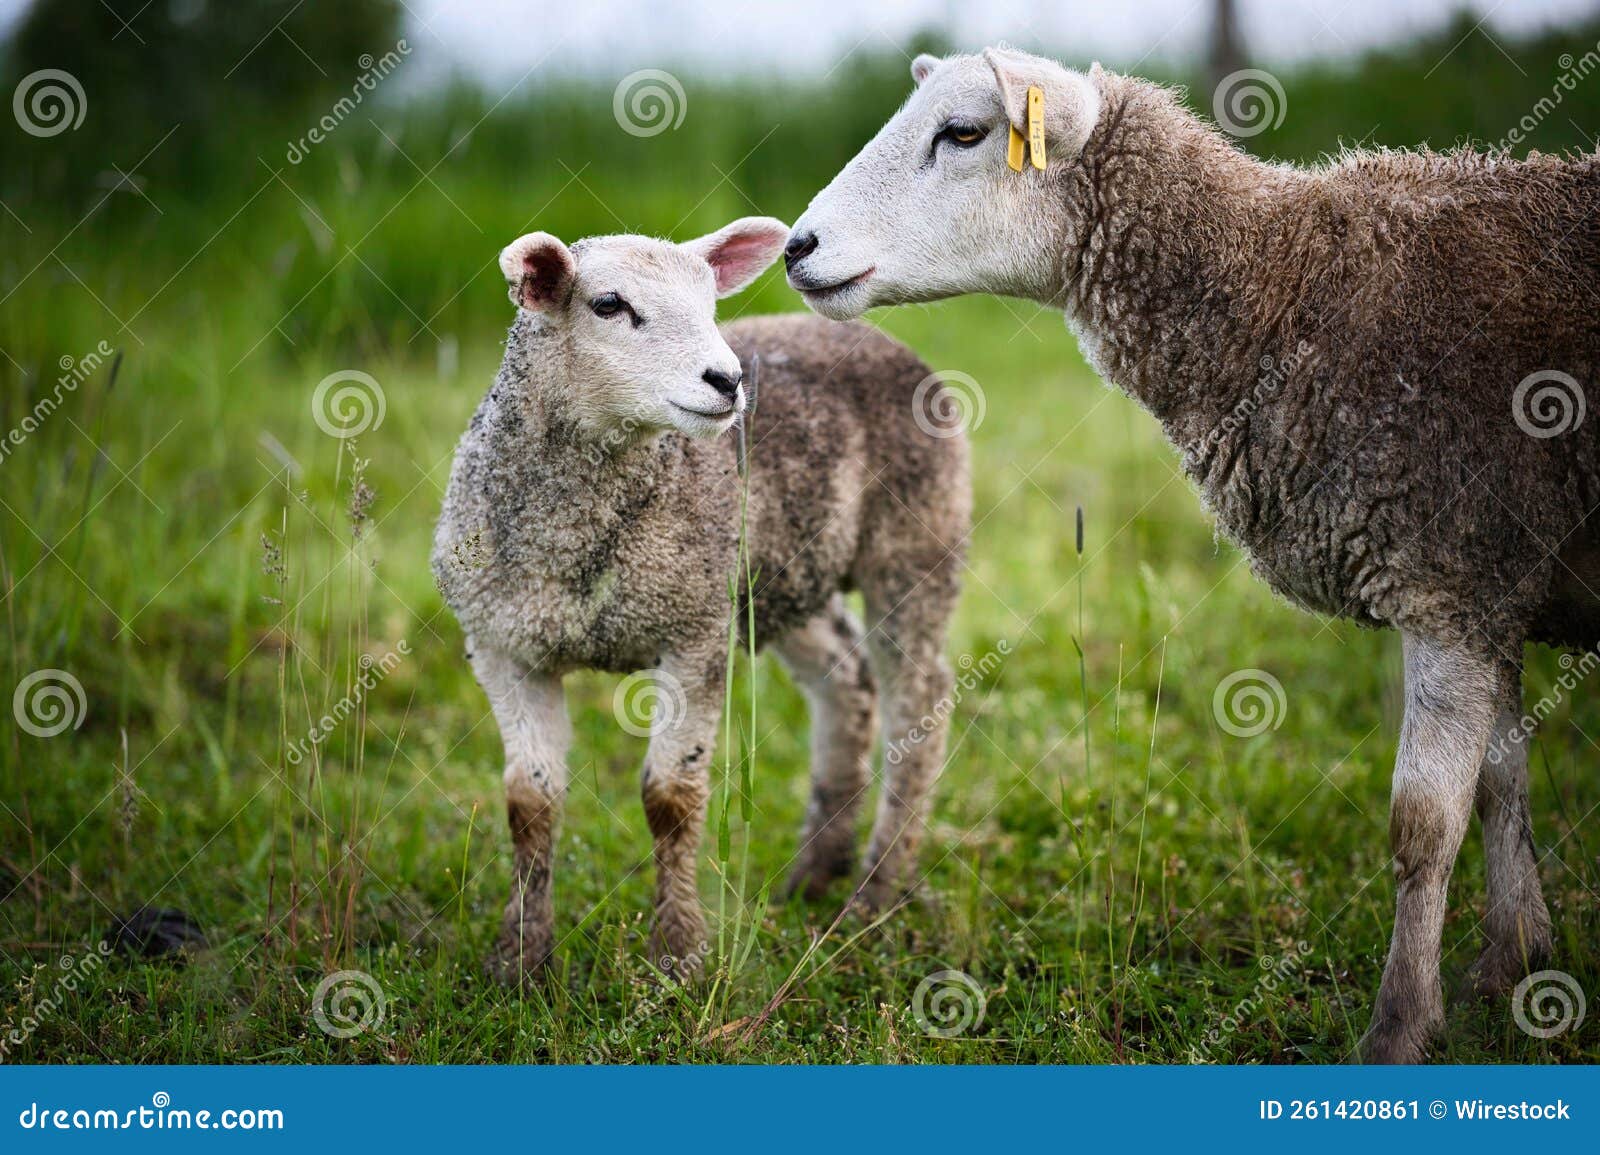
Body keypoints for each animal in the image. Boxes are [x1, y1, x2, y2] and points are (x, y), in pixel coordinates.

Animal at [432, 217, 971, 982]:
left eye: (710, 304)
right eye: (608, 304)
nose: (728, 379)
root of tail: (872, 335)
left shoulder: (692, 632)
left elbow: (671, 799)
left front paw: (679, 954)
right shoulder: (505, 647)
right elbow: (528, 802)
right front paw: (520, 960)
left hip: (916, 540)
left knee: (918, 700)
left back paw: (876, 892)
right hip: (778, 573)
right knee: (846, 679)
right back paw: (816, 872)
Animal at [783, 46, 1600, 1063]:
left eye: (964, 133)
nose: (796, 247)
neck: (1289, 288)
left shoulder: (1446, 573)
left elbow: (1424, 823)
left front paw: (1400, 1025)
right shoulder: (1488, 579)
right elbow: (1500, 779)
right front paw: (1513, 966)